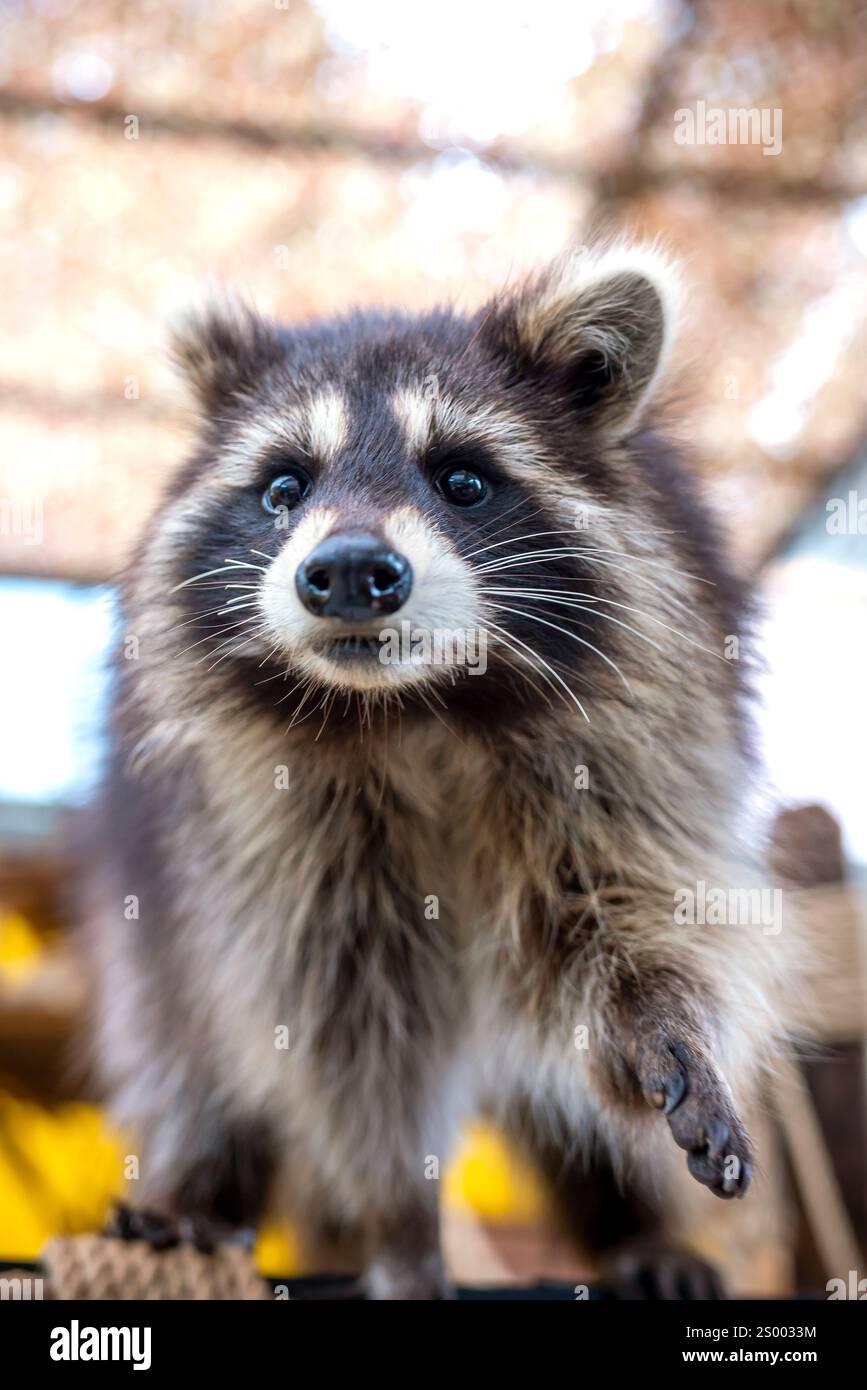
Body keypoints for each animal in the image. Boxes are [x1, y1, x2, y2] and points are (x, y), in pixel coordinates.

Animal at [87, 245, 793, 1298]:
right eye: (283, 487)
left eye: (462, 480)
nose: (347, 570)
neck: (417, 705)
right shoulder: (271, 829)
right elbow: (348, 1038)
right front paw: (399, 1226)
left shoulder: (630, 751)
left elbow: (620, 920)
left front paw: (668, 1027)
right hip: (153, 910)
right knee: (185, 1040)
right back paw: (200, 1193)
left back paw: (628, 1225)